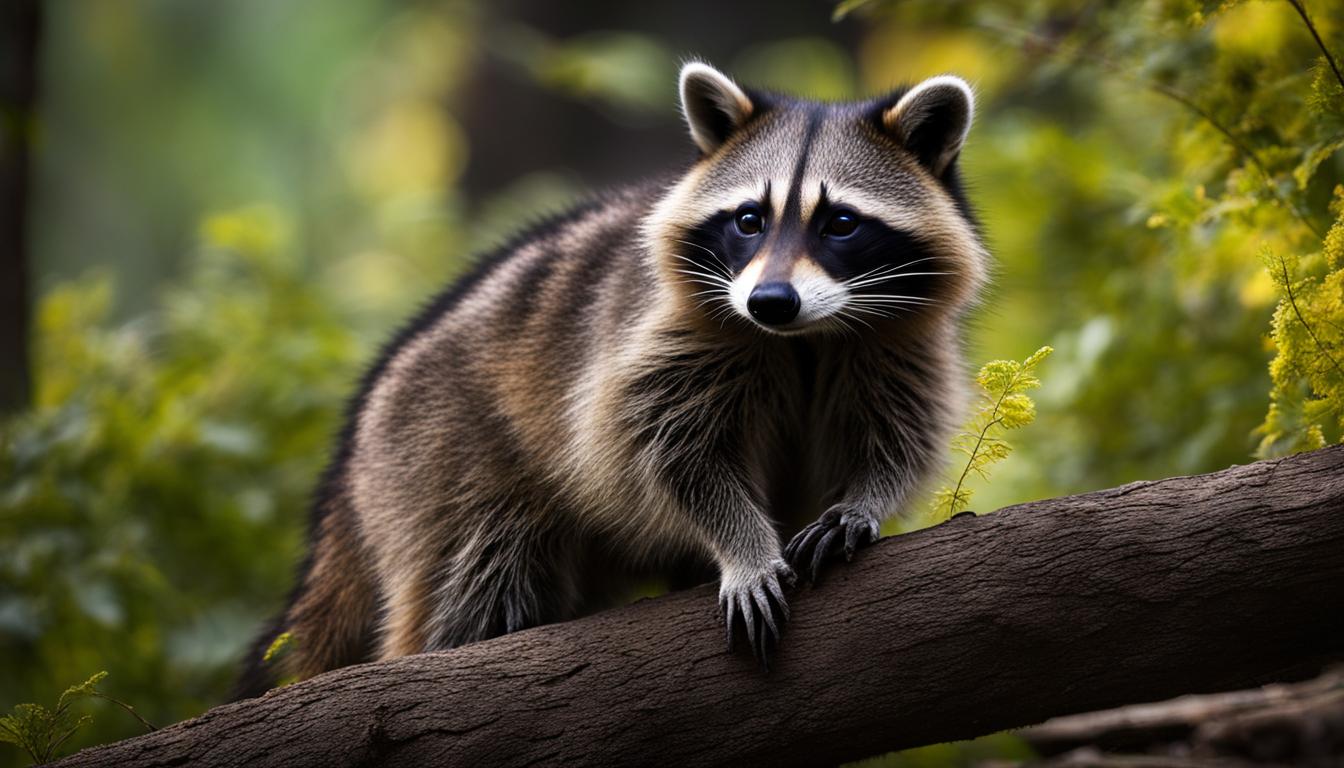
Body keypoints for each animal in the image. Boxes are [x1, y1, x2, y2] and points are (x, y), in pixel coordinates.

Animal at [236, 61, 986, 695]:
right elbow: (673, 453)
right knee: (477, 584)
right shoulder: (661, 341)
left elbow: (898, 437)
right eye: (750, 219)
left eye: (840, 223)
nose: (770, 302)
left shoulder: (899, 348)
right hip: (439, 462)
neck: (802, 337)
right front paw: (741, 546)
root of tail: (354, 449)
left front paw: (864, 500)